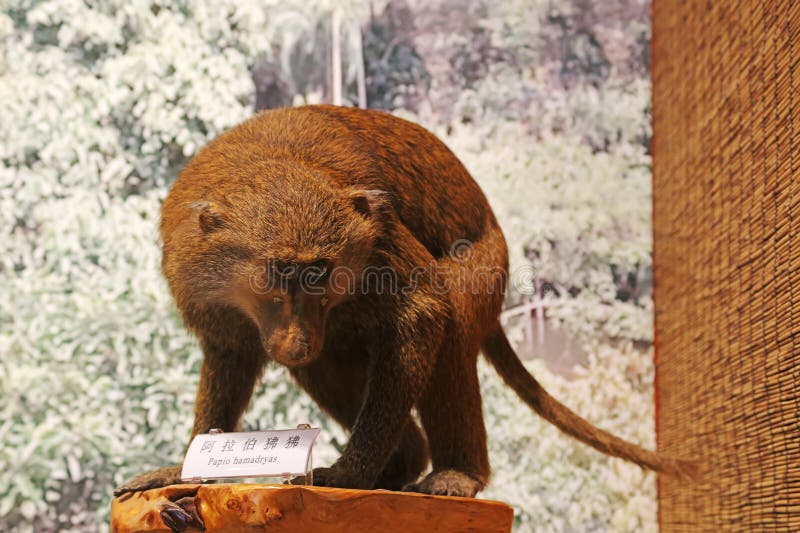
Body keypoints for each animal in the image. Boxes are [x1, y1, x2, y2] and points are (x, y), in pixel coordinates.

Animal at [114, 105, 696, 498]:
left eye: (318, 273)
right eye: (280, 274)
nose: (298, 336)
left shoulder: (377, 232)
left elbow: (423, 308)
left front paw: (349, 473)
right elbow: (231, 352)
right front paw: (184, 467)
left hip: (486, 262)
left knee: (452, 323)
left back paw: (455, 473)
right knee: (322, 363)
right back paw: (402, 464)